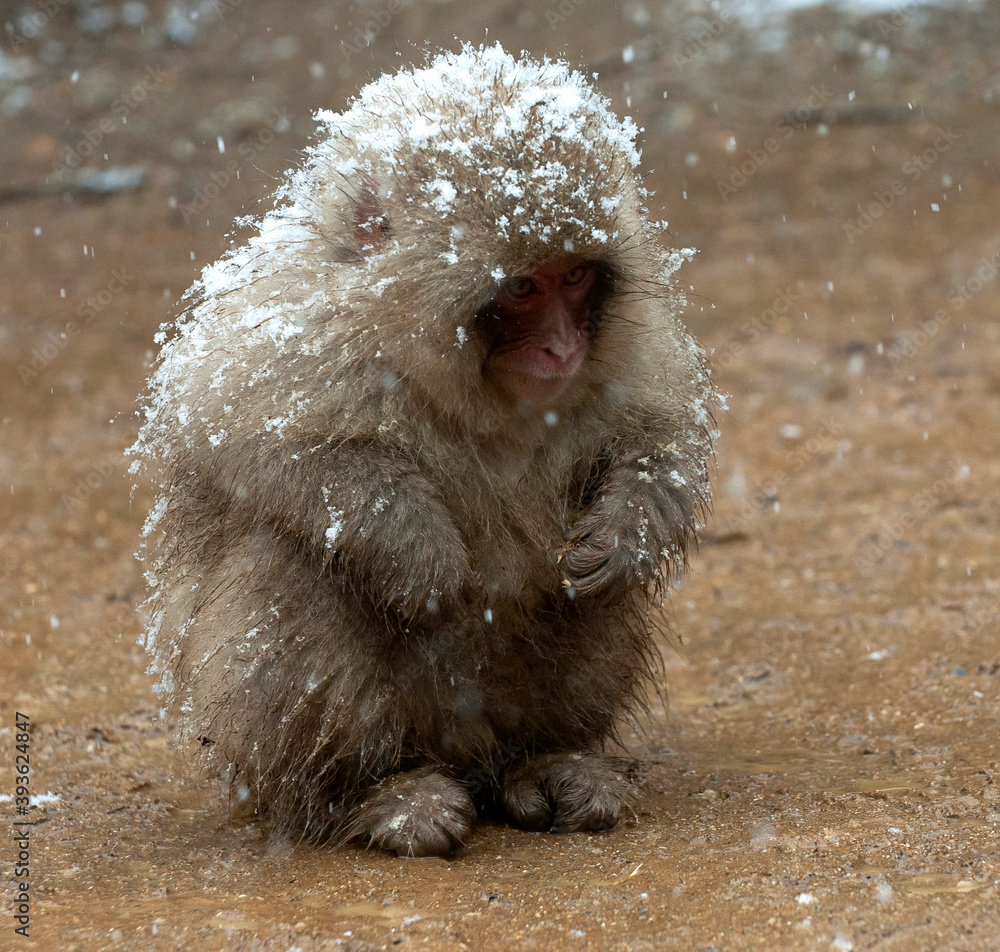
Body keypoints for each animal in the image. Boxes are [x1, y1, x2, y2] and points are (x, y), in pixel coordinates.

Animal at [130, 44, 716, 858]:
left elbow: (659, 437)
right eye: (523, 289)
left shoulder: (634, 346)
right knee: (294, 566)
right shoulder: (292, 331)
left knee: (586, 616)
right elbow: (258, 446)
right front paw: (421, 555)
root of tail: (467, 754)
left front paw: (624, 537)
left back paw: (548, 763)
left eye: (574, 276)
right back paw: (368, 797)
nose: (562, 348)